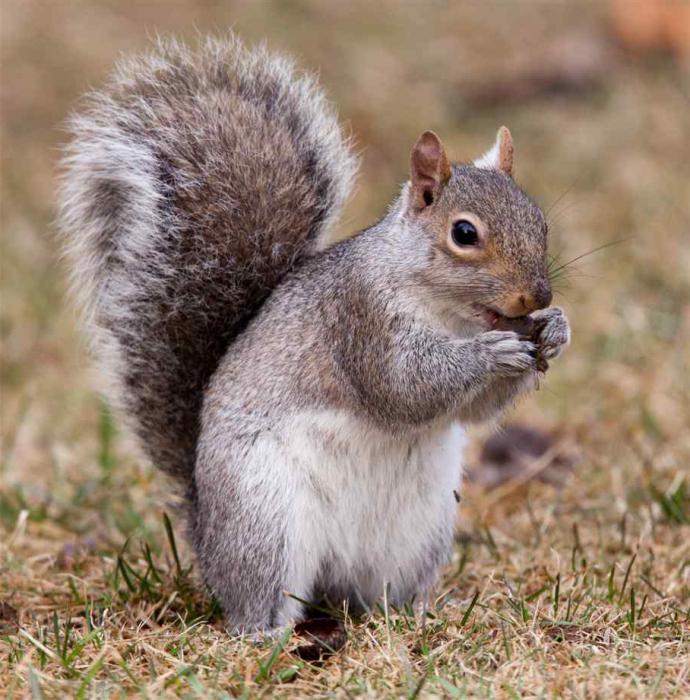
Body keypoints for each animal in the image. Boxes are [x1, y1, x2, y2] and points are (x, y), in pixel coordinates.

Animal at [57, 37, 568, 636]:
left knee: (377, 592)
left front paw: (556, 330)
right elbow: (405, 387)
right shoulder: (360, 318)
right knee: (259, 599)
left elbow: (474, 410)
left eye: (540, 221)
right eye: (464, 233)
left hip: (420, 531)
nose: (537, 297)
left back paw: (414, 616)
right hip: (265, 517)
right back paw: (268, 634)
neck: (450, 314)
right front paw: (491, 353)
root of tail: (205, 533)